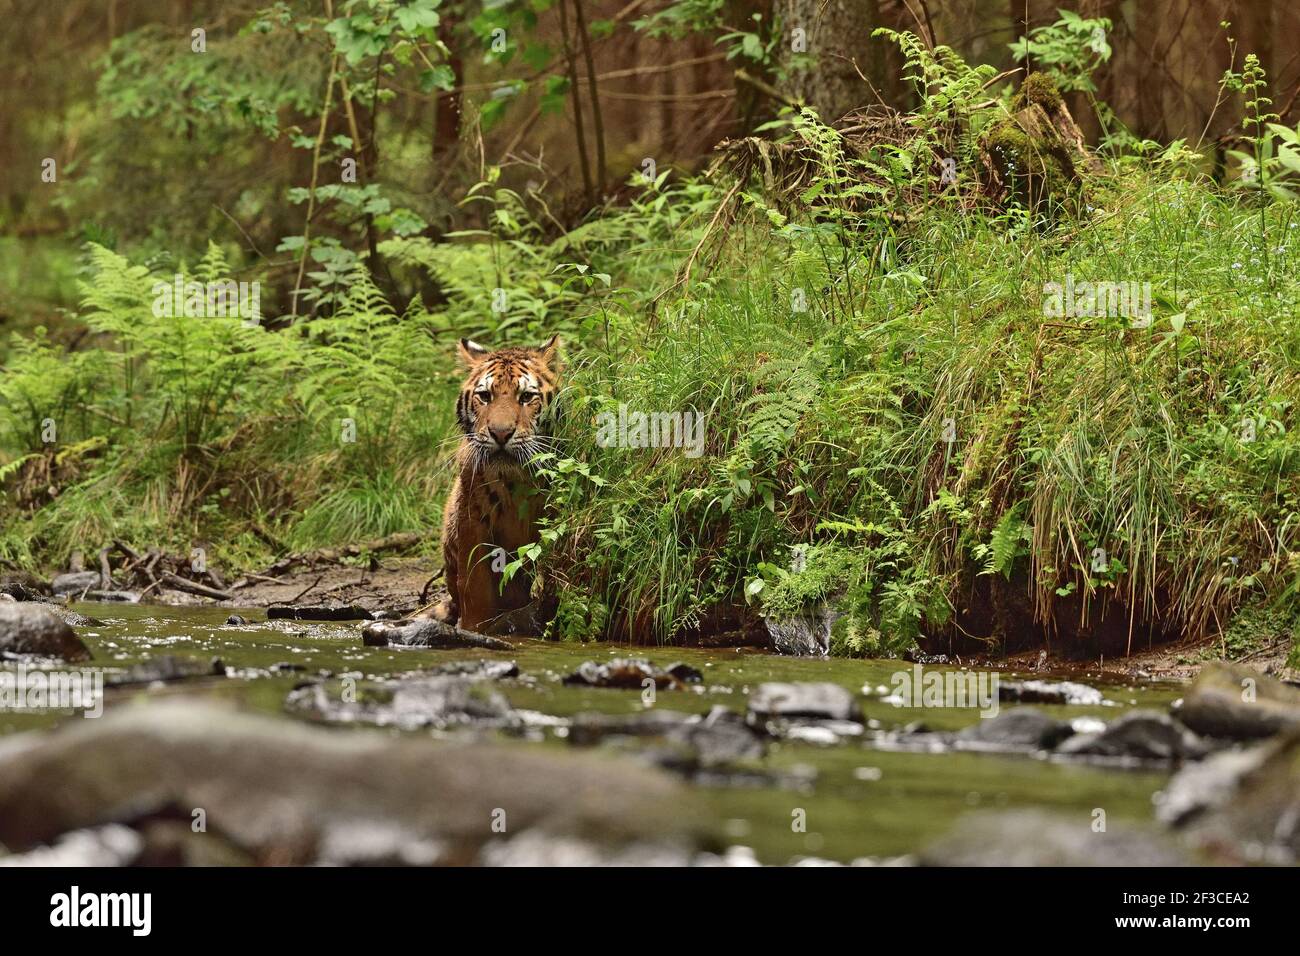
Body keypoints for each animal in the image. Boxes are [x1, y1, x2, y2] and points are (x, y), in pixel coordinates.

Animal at [421, 334, 560, 632]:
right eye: (485, 396)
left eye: (526, 397)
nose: (501, 433)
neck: (516, 479)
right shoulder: (472, 521)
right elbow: (476, 587)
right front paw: (473, 630)